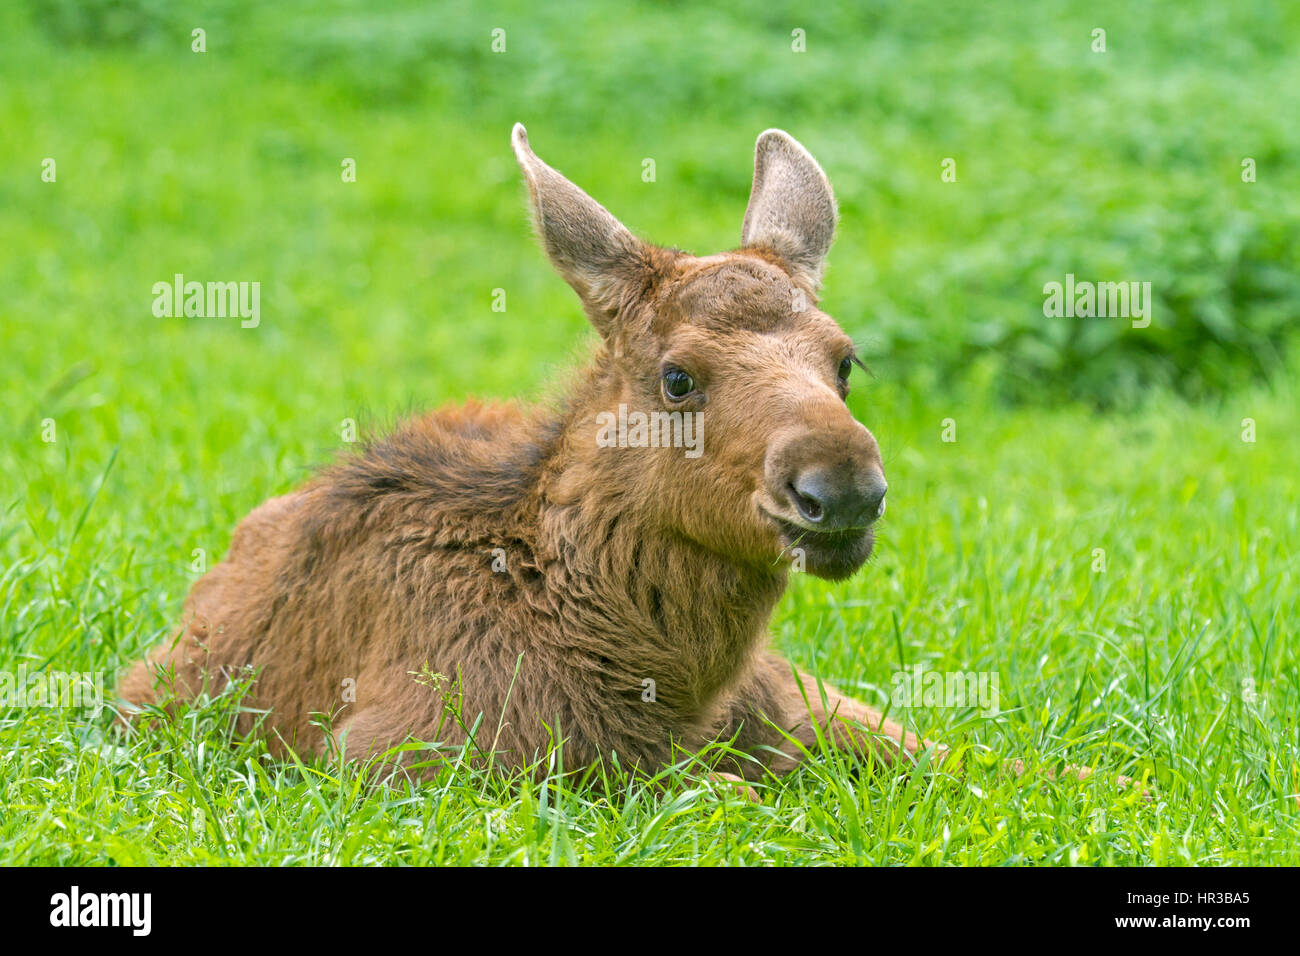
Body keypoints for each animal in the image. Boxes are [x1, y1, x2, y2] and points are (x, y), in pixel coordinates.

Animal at [120, 124, 1123, 800]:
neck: (665, 681)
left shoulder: (803, 705)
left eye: (846, 361)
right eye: (677, 376)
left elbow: (1028, 765)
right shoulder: (406, 758)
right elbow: (730, 796)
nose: (839, 491)